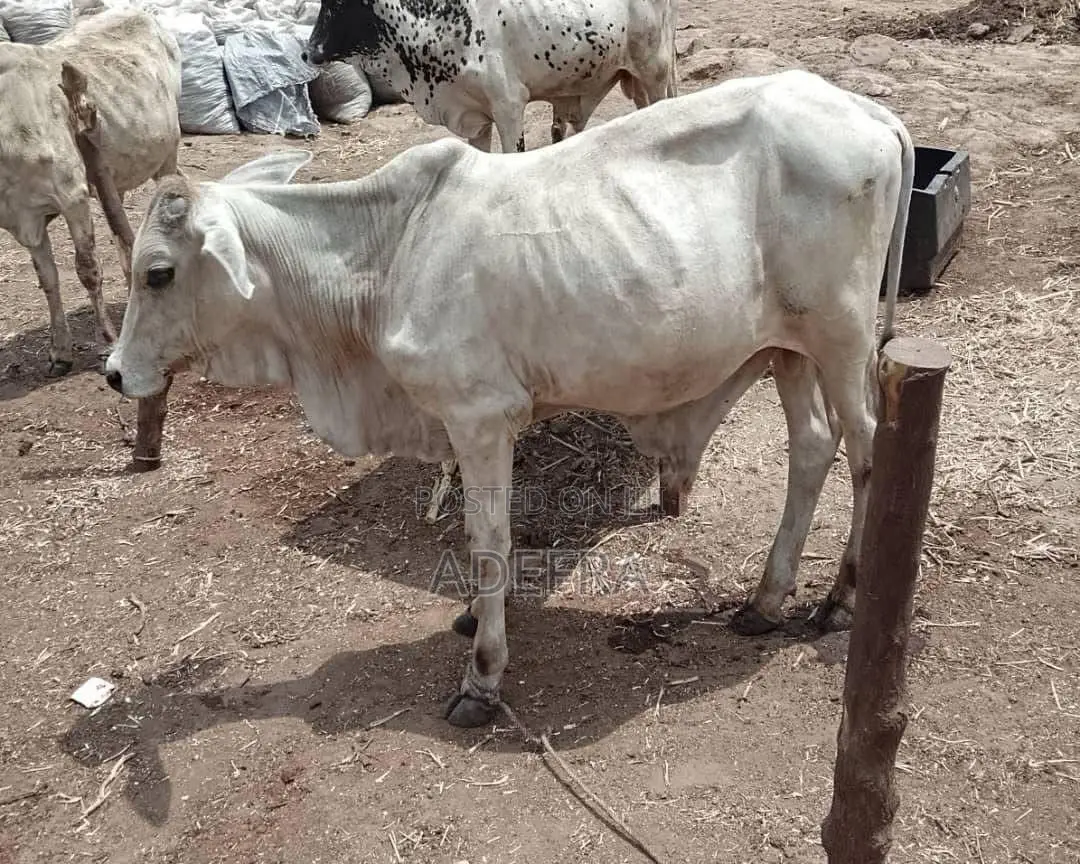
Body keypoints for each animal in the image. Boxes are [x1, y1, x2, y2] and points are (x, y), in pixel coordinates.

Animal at [0, 8, 182, 377]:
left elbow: (87, 270)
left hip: (168, 155)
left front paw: (107, 344)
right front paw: (60, 351)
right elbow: (48, 279)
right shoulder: (24, 217)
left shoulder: (73, 197)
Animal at [102, 69, 915, 728]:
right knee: (812, 447)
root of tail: (872, 113)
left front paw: (483, 677)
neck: (384, 255)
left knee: (871, 452)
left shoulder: (479, 417)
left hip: (842, 337)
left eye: (159, 273)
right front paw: (470, 619)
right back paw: (766, 601)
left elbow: (487, 537)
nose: (114, 373)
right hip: (788, 349)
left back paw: (839, 600)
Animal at [300, 0, 678, 153]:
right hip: (637, 80)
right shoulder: (475, 119)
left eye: (339, 5)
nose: (308, 52)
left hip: (655, 72)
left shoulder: (509, 107)